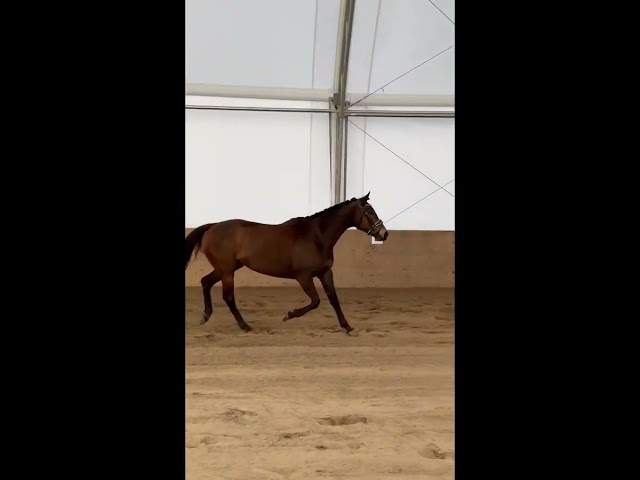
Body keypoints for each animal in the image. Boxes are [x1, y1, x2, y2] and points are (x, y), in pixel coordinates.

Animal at [184, 192, 389, 334]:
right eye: (369, 211)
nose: (384, 233)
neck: (317, 236)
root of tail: (212, 226)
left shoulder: (325, 273)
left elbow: (333, 299)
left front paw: (347, 327)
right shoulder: (304, 276)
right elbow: (315, 301)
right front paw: (289, 315)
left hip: (227, 268)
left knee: (206, 282)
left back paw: (206, 315)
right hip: (227, 271)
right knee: (227, 297)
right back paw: (245, 326)